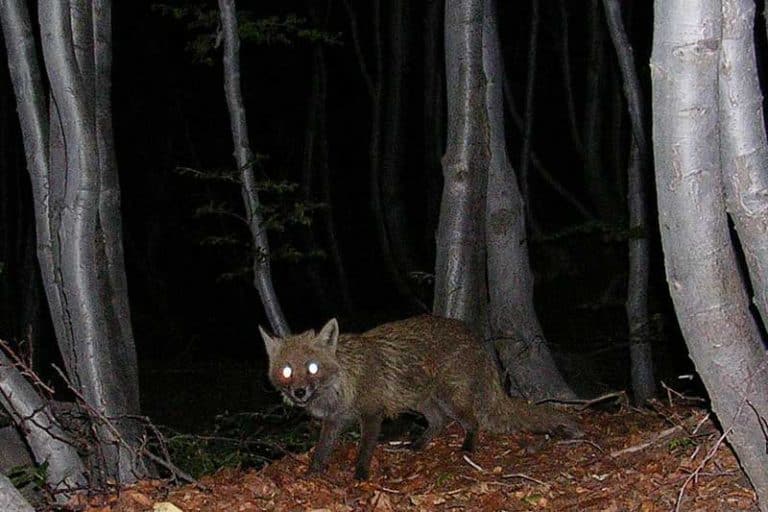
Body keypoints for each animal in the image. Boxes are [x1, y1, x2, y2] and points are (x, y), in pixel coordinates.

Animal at [259, 315, 581, 480]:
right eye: (287, 371)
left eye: (312, 368)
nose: (299, 393)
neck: (343, 384)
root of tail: (476, 337)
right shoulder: (335, 421)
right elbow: (321, 450)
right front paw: (312, 474)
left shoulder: (372, 413)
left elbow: (365, 449)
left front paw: (361, 475)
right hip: (421, 400)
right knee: (438, 423)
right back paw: (417, 445)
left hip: (449, 397)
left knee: (472, 422)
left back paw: (468, 447)